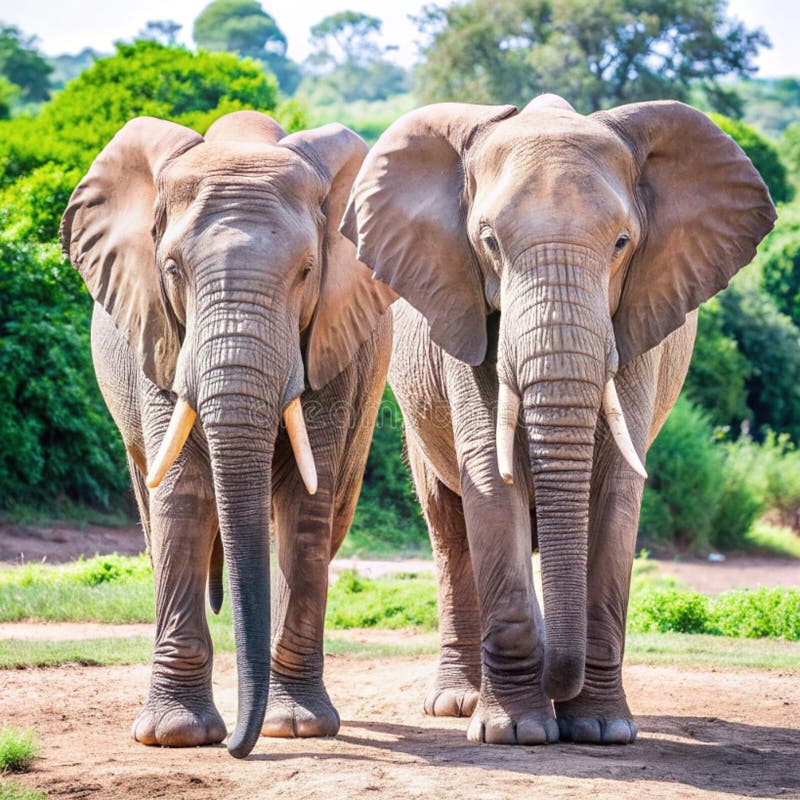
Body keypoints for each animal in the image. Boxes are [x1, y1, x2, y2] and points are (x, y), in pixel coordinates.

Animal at [60, 110, 395, 758]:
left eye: (307, 272)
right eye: (171, 270)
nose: (239, 747)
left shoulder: (329, 337)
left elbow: (306, 500)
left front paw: (297, 729)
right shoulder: (160, 335)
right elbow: (183, 497)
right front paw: (175, 737)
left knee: (329, 514)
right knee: (153, 504)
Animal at [342, 94, 775, 745]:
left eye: (622, 243)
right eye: (489, 242)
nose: (556, 681)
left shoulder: (638, 319)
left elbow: (616, 486)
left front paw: (601, 730)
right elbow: (489, 478)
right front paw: (515, 734)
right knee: (448, 526)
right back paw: (457, 703)